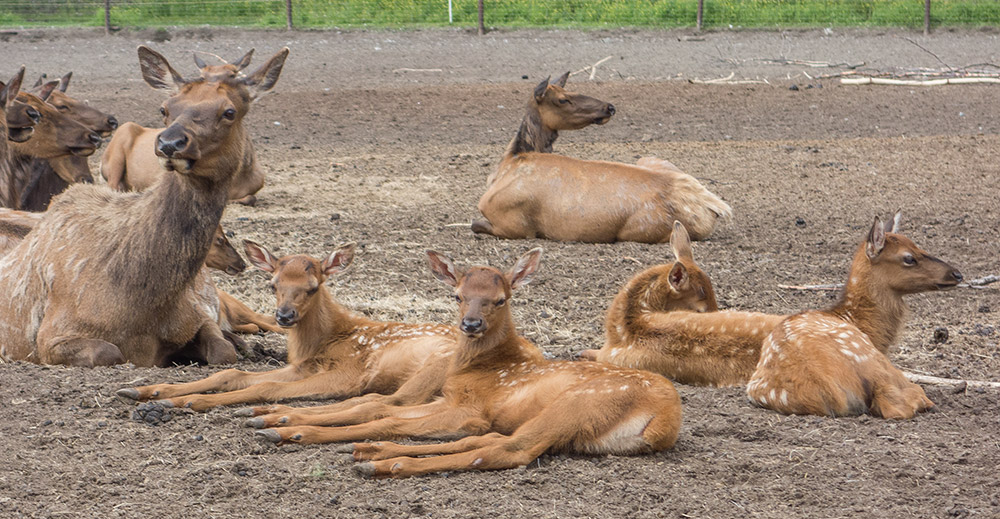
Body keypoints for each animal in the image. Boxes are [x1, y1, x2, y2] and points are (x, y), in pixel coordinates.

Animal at [115, 240, 459, 411]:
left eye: (313, 287)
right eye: (272, 284)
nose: (284, 316)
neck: (328, 340)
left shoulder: (352, 373)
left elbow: (267, 387)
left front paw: (188, 400)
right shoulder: (301, 366)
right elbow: (232, 373)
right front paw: (145, 390)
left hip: (437, 365)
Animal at [251, 248, 682, 480]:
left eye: (500, 299)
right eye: (458, 295)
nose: (470, 324)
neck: (481, 367)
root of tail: (666, 421)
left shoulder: (471, 409)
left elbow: (382, 413)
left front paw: (289, 428)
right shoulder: (450, 399)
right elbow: (379, 411)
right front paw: (279, 421)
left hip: (576, 406)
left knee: (505, 450)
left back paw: (386, 463)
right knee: (485, 441)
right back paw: (370, 451)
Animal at [472, 73, 732, 243]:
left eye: (567, 92)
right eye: (563, 98)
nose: (609, 107)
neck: (510, 161)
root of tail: (713, 205)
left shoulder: (516, 226)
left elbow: (475, 225)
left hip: (641, 231)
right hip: (649, 158)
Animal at [747, 212, 962, 419]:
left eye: (918, 246)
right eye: (909, 257)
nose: (957, 274)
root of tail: (828, 389)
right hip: (873, 359)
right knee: (898, 403)